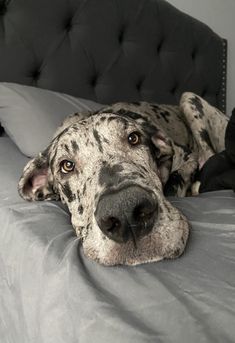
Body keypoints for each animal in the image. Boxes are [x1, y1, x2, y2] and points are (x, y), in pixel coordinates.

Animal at [17, 92, 228, 268]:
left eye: (134, 138)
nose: (125, 212)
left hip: (189, 98)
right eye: (66, 165)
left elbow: (179, 177)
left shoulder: (187, 157)